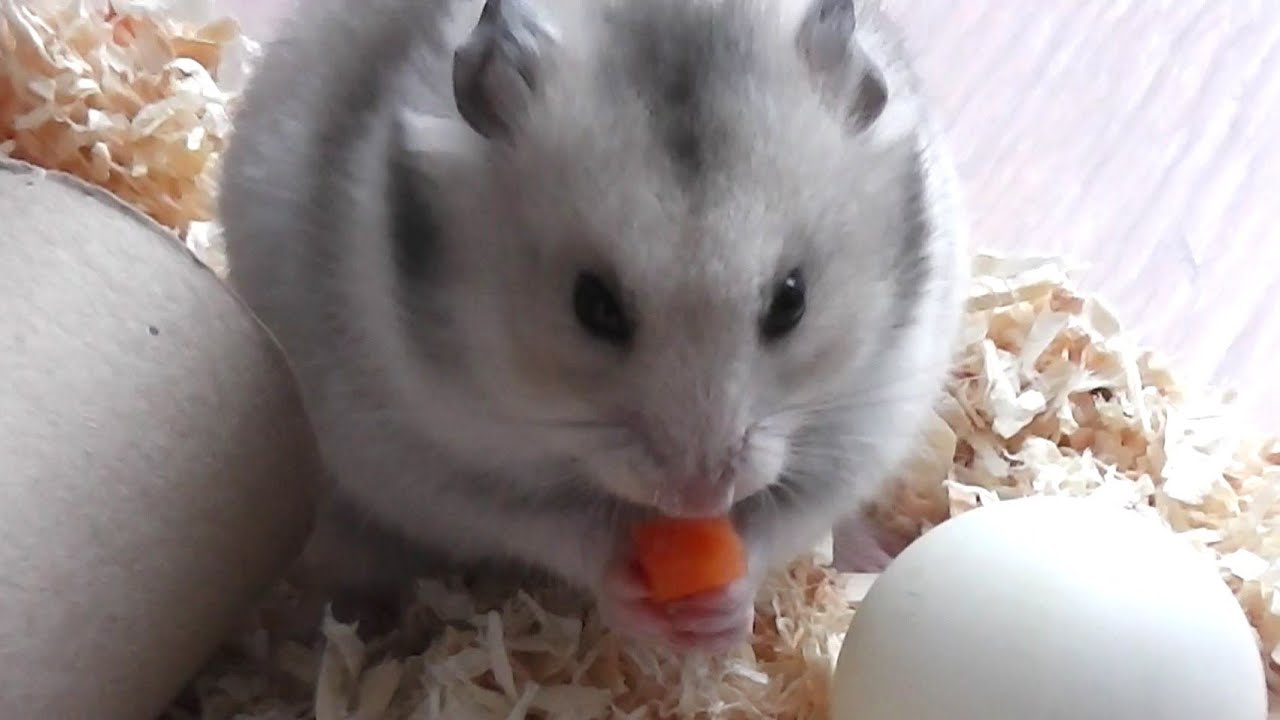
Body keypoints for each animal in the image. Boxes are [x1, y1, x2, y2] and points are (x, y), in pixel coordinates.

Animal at [218, 0, 969, 652]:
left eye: (791, 300)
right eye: (593, 306)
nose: (700, 495)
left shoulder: (873, 414)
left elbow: (790, 516)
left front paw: (721, 614)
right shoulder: (422, 461)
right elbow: (549, 525)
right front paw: (633, 591)